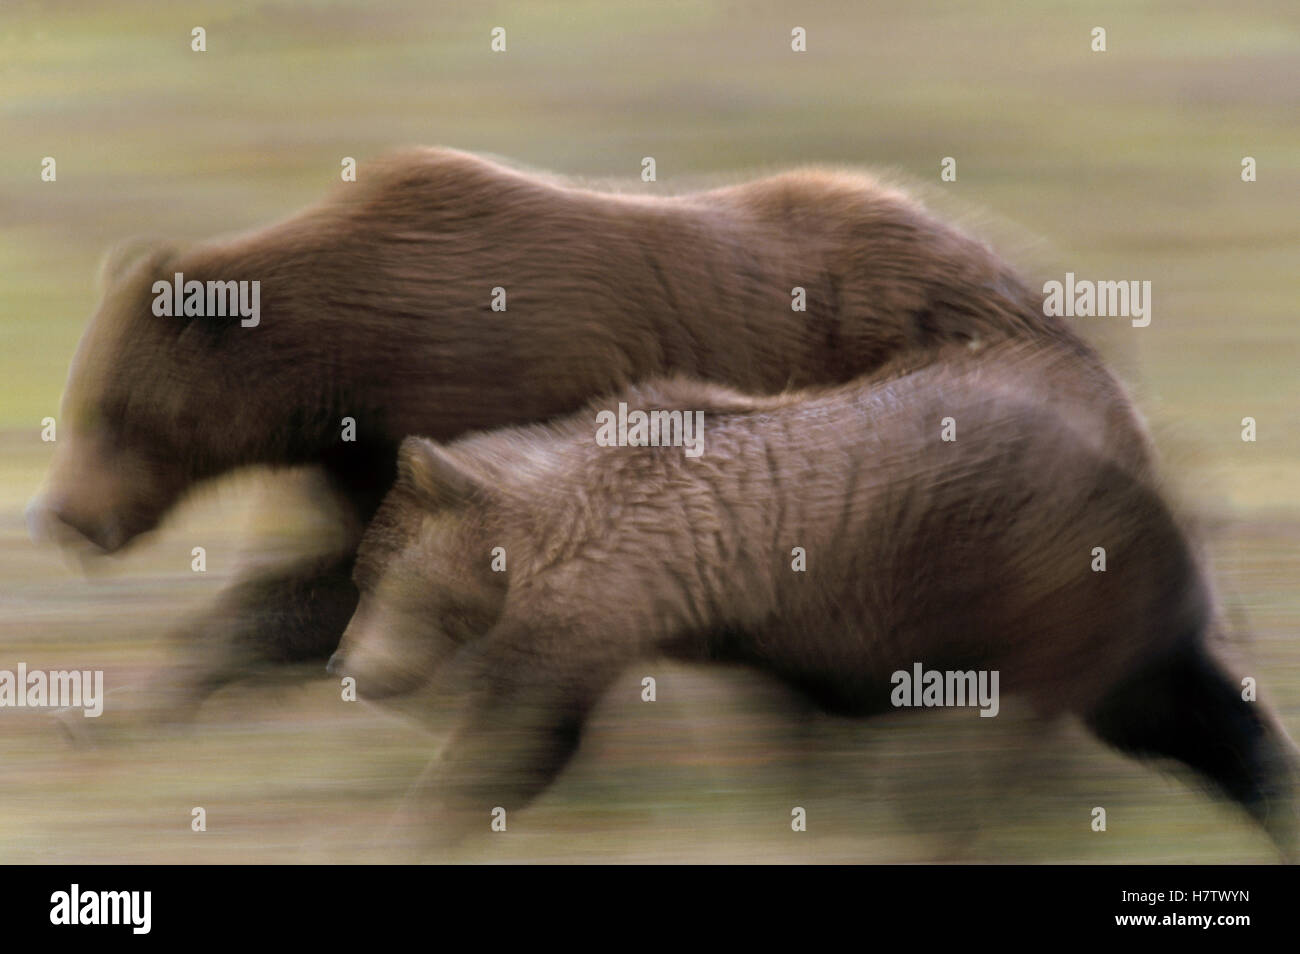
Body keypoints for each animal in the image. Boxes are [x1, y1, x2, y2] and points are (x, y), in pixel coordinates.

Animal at [28, 147, 1153, 722]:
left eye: (107, 414)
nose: (61, 519)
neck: (347, 355)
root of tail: (1031, 280)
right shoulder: (359, 442)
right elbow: (350, 557)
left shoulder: (466, 387)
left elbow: (370, 569)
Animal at [329, 341, 1297, 858]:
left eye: (375, 578)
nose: (348, 663)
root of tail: (1157, 457)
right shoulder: (740, 626)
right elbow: (779, 733)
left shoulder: (610, 589)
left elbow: (523, 725)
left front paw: (411, 826)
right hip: (1110, 605)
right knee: (1184, 708)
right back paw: (1276, 798)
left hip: (1030, 575)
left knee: (1009, 733)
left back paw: (946, 830)